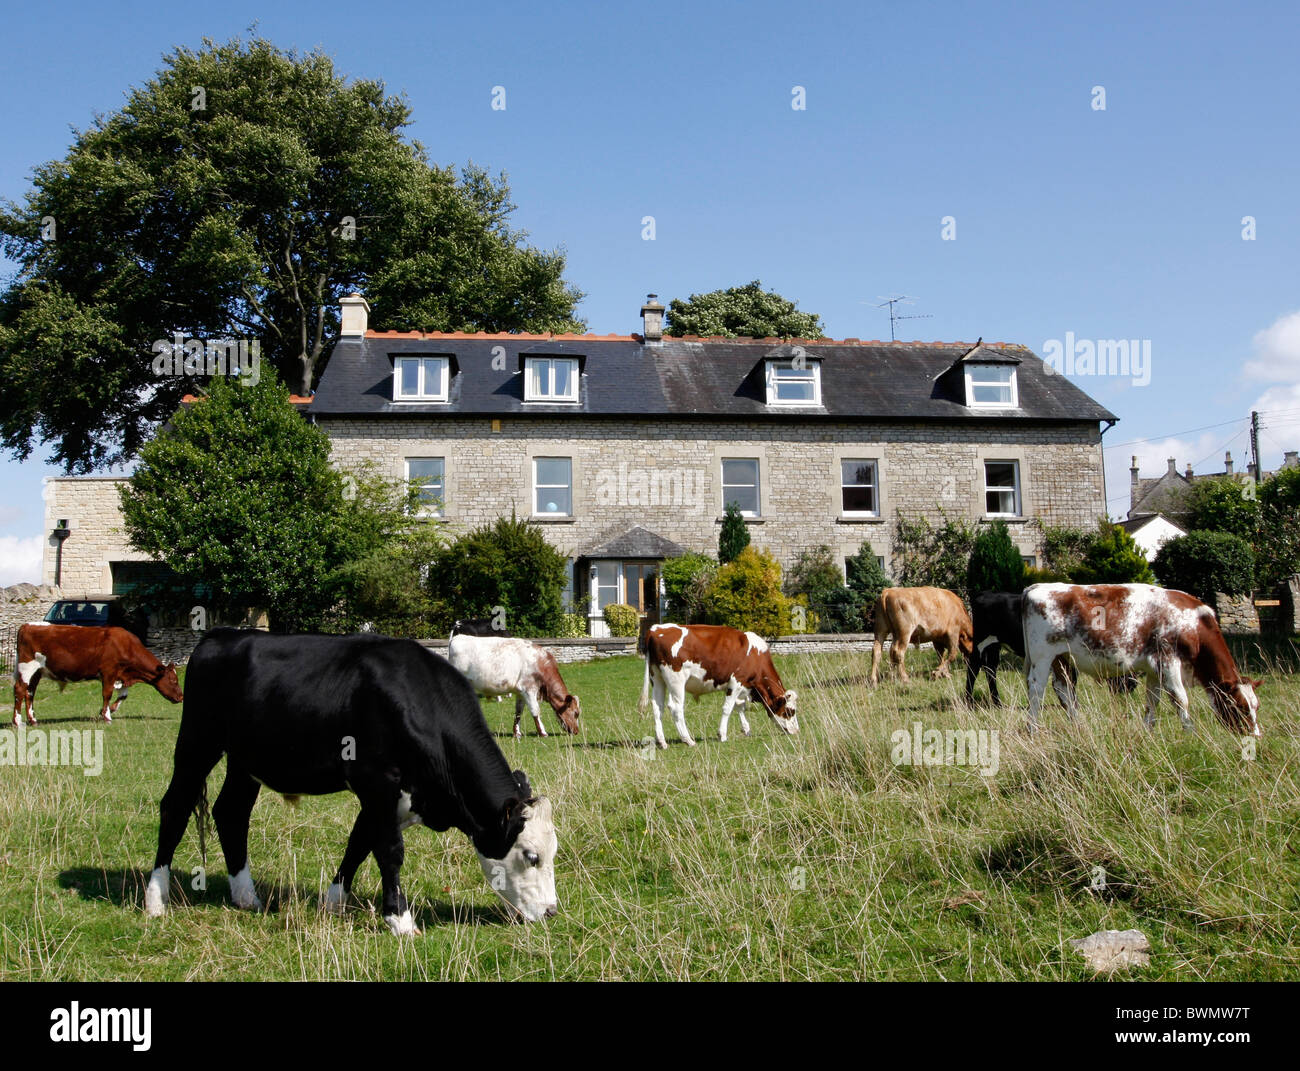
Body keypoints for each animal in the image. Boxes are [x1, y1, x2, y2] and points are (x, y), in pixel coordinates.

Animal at [12, 624, 183, 727]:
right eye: (174, 680)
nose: (181, 697)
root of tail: (26, 626)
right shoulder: (109, 671)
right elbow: (107, 694)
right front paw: (106, 716)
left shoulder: (122, 675)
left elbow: (123, 695)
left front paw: (111, 709)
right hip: (26, 668)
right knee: (20, 690)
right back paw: (17, 721)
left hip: (37, 672)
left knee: (30, 693)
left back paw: (33, 720)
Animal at [143, 629, 559, 935]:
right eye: (531, 856)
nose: (551, 913)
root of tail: (219, 636)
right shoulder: (377, 782)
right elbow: (389, 851)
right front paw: (400, 919)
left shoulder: (393, 796)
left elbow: (360, 842)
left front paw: (333, 902)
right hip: (198, 742)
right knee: (175, 807)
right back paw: (156, 899)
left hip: (245, 761)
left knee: (231, 812)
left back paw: (246, 896)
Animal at [447, 634, 580, 738]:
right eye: (575, 713)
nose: (576, 731)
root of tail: (457, 637)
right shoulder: (529, 689)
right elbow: (535, 711)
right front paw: (543, 733)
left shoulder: (520, 692)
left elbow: (518, 712)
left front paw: (517, 733)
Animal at [638, 623, 798, 748]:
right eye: (789, 711)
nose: (797, 731)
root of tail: (655, 629)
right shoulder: (737, 681)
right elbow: (727, 708)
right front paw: (722, 735)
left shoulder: (742, 685)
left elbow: (739, 706)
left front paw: (746, 729)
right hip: (676, 680)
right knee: (675, 707)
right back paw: (688, 740)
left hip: (657, 678)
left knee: (657, 707)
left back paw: (662, 742)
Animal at [1021, 583, 1261, 736]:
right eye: (1240, 706)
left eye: (1256, 706)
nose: (1255, 735)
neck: (1193, 624)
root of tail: (1035, 587)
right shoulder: (1167, 659)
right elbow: (1180, 698)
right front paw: (1191, 733)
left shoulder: (1154, 667)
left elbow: (1152, 700)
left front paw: (1148, 731)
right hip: (1043, 656)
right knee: (1037, 689)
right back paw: (1033, 730)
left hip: (1061, 657)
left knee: (1064, 690)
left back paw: (1078, 727)